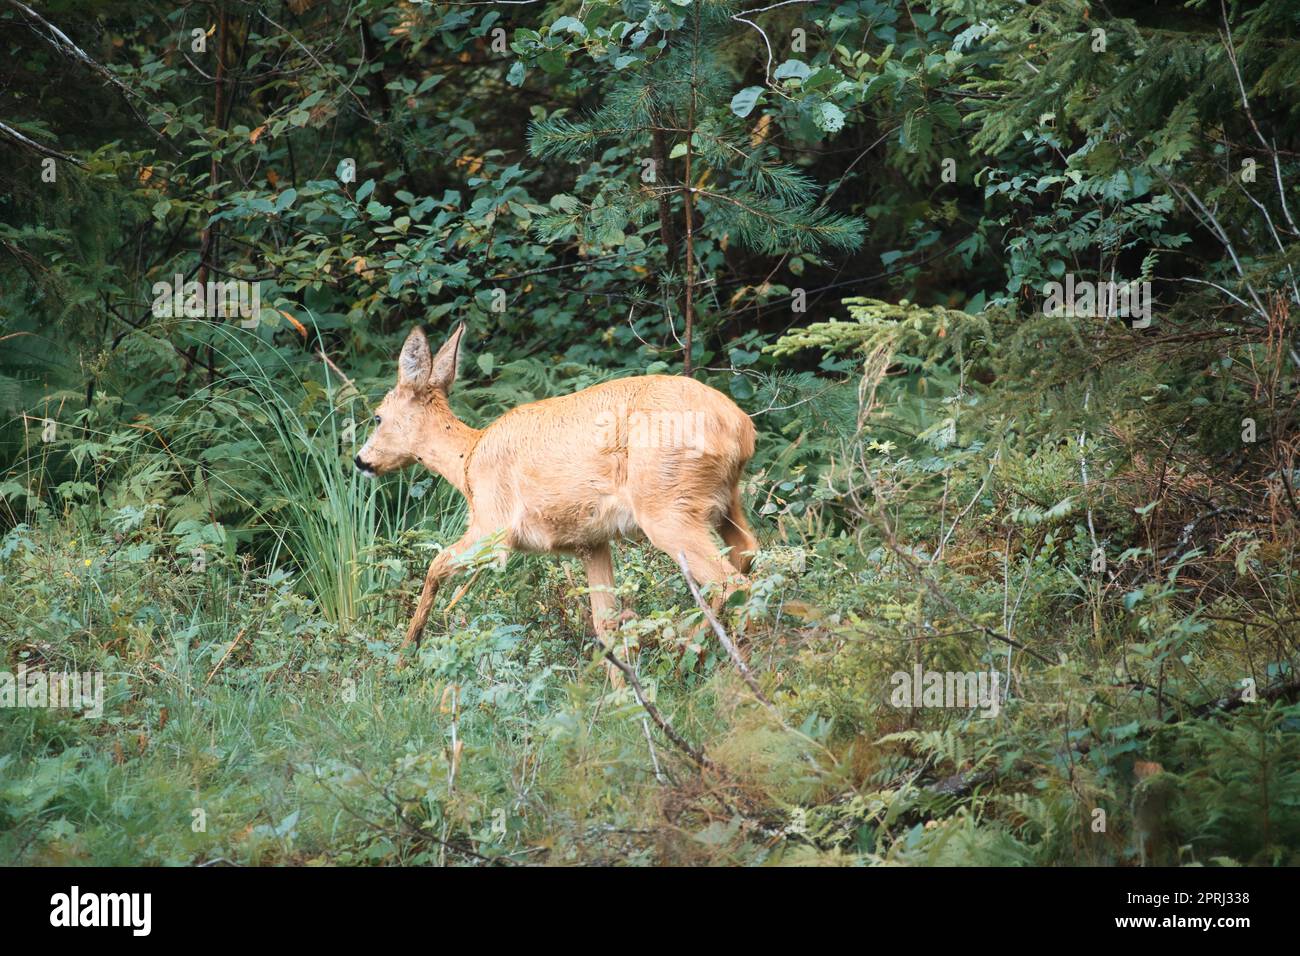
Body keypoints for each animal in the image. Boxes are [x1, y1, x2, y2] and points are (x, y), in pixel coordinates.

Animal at [354, 324, 759, 682]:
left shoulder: (494, 526)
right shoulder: (591, 541)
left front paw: (404, 658)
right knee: (749, 554)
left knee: (731, 582)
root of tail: (740, 427)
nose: (360, 460)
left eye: (377, 417)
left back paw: (699, 663)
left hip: (666, 506)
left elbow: (435, 565)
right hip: (724, 501)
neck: (467, 461)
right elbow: (605, 622)